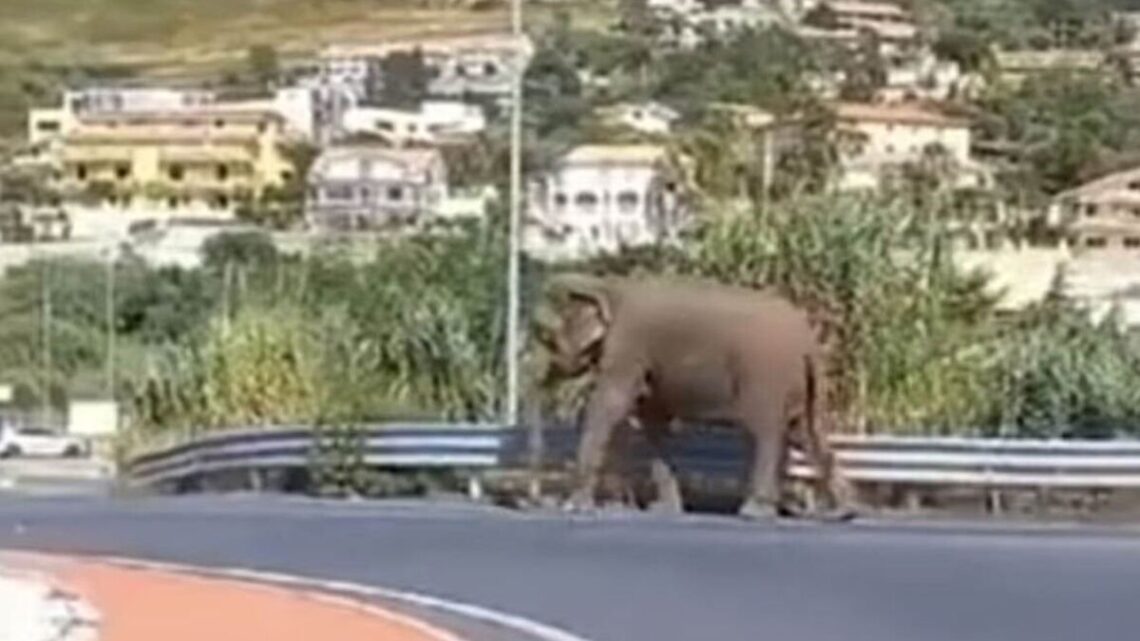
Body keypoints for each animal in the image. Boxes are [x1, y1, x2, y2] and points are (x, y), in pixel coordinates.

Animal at [535, 270, 857, 520]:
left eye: (546, 339)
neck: (607, 286)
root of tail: (808, 342)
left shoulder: (628, 345)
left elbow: (610, 404)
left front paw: (575, 507)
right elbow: (653, 421)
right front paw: (664, 510)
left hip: (766, 377)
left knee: (766, 433)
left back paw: (755, 511)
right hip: (800, 385)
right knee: (806, 433)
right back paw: (843, 512)